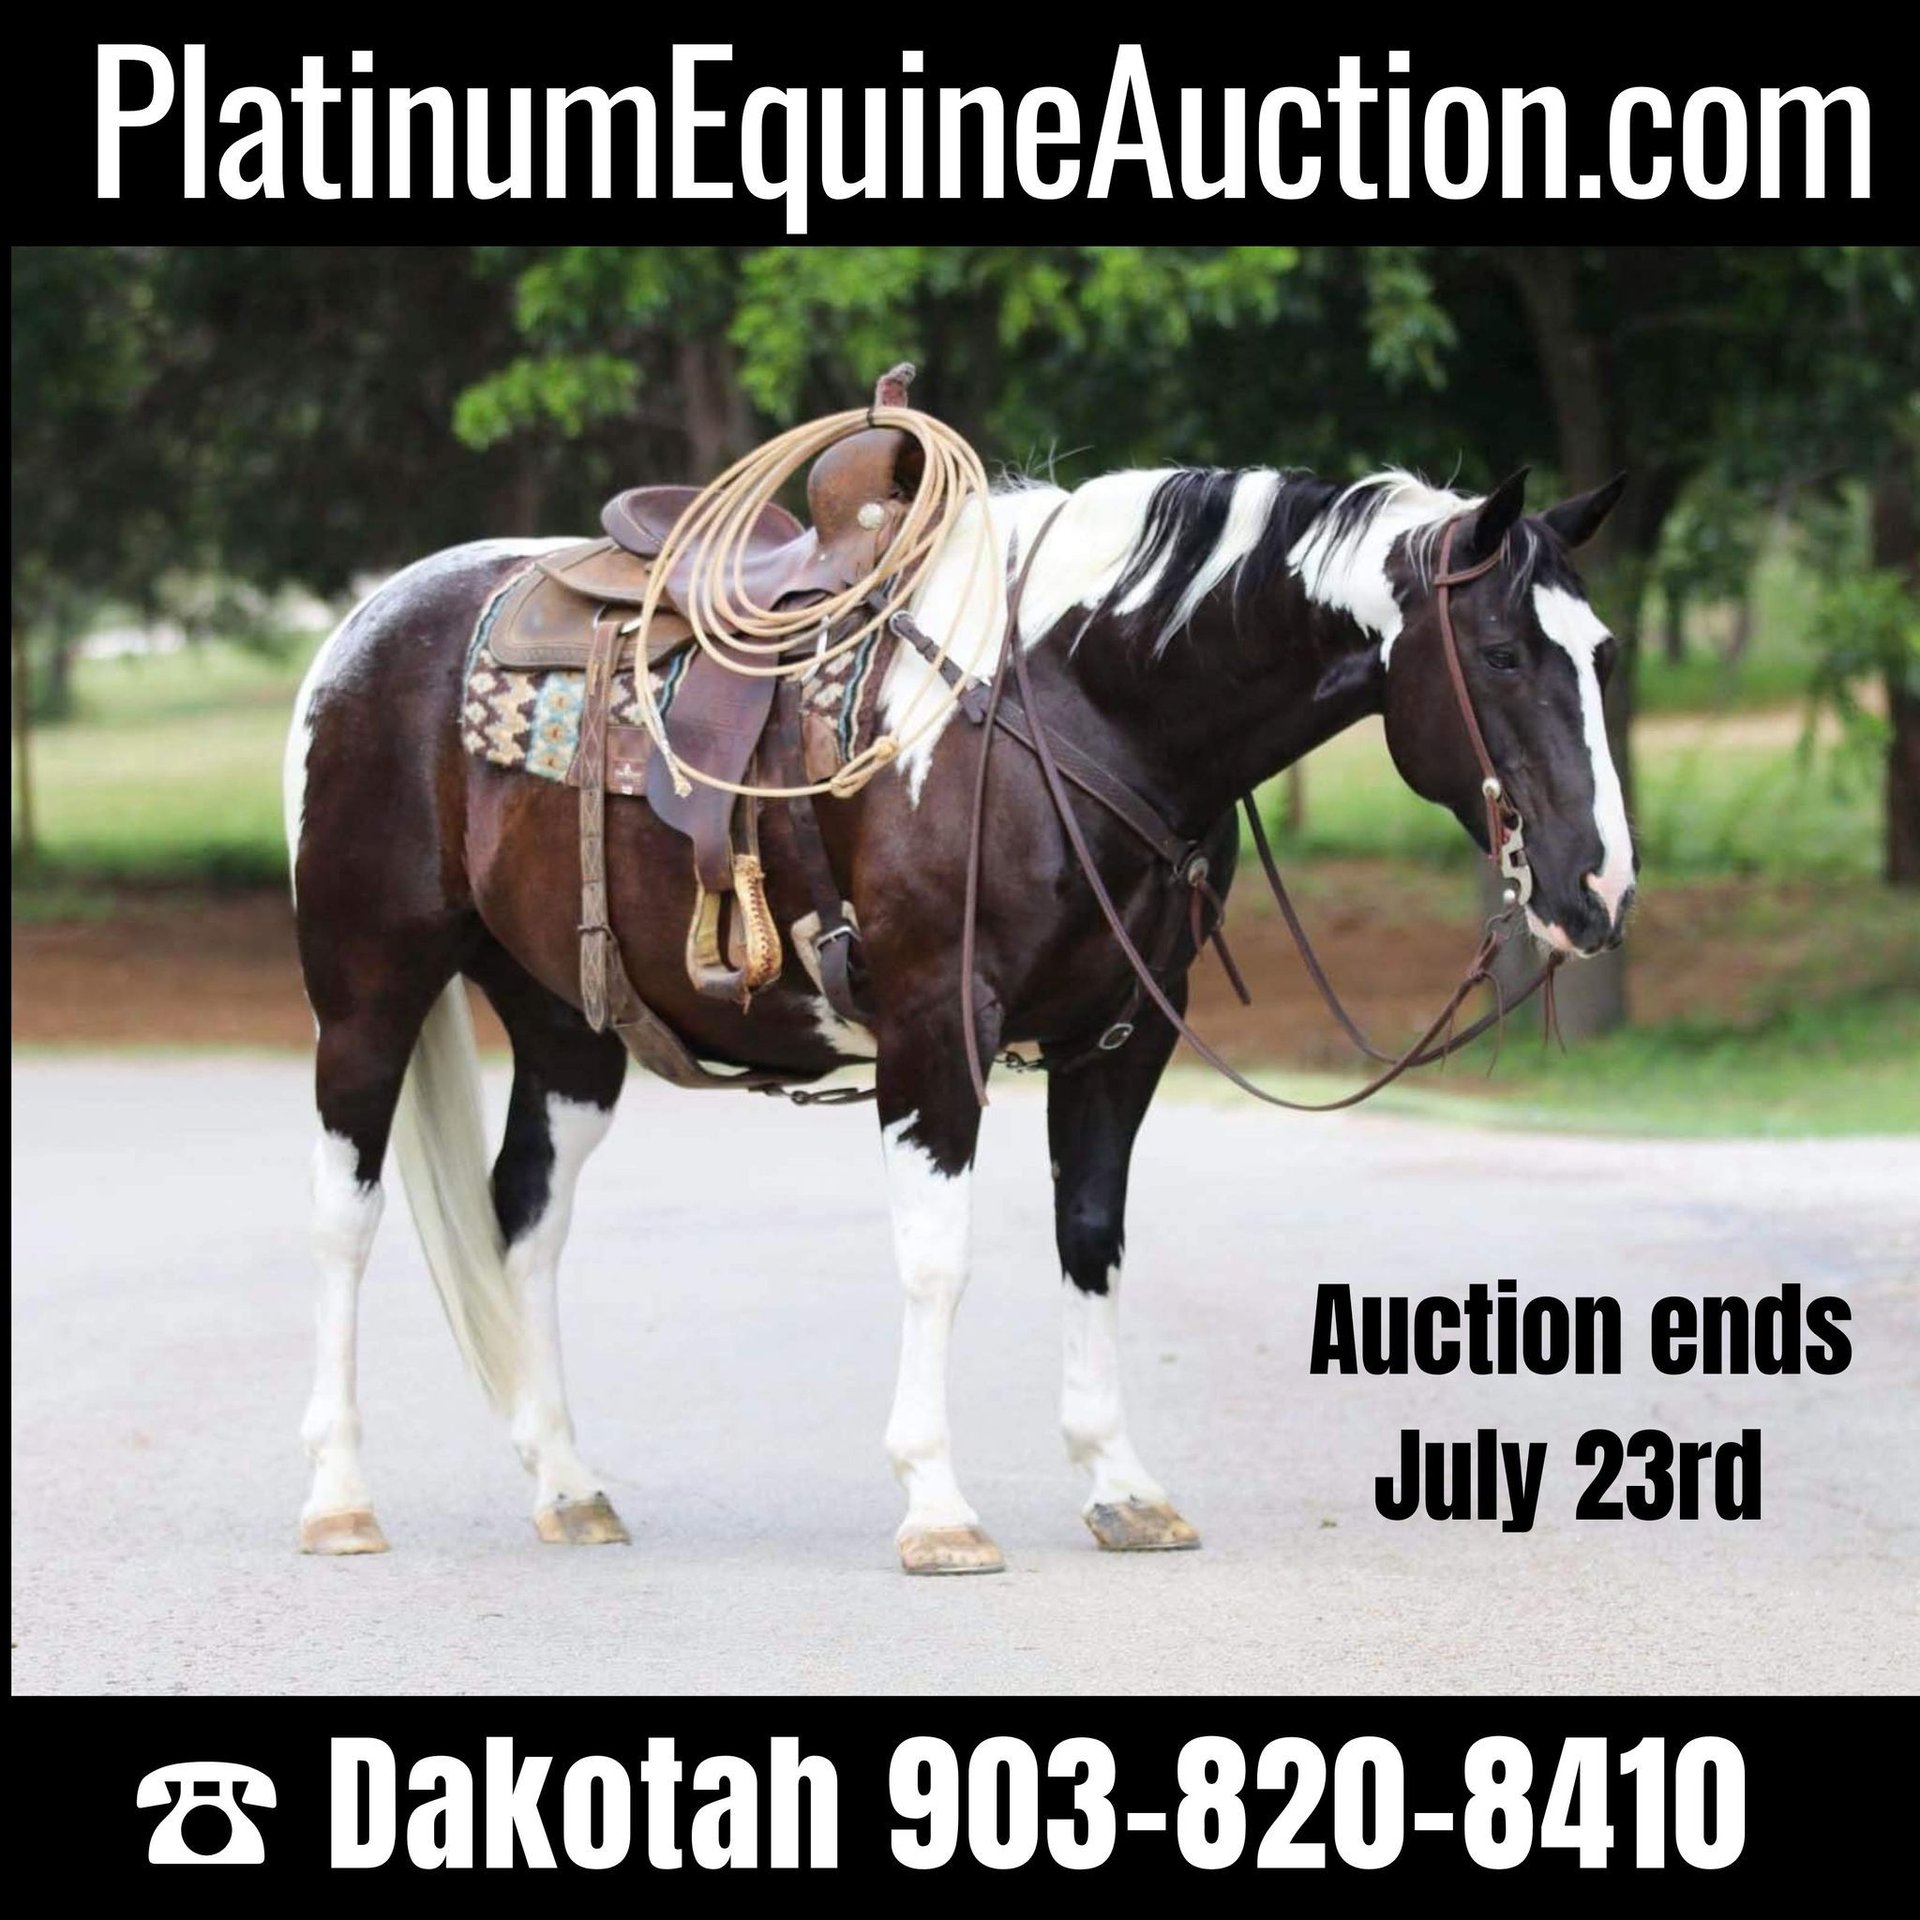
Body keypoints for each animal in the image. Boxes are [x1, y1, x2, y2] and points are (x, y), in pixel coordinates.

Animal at [284, 456, 1634, 1573]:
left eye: (1602, 651)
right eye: (1503, 655)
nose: (1599, 887)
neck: (1072, 705)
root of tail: (362, 627)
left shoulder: (1127, 1036)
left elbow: (1092, 1236)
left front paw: (1121, 1486)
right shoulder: (938, 1027)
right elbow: (937, 1258)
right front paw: (936, 1506)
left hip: (568, 1023)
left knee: (527, 1216)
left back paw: (568, 1486)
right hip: (368, 991)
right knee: (344, 1221)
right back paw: (340, 1498)